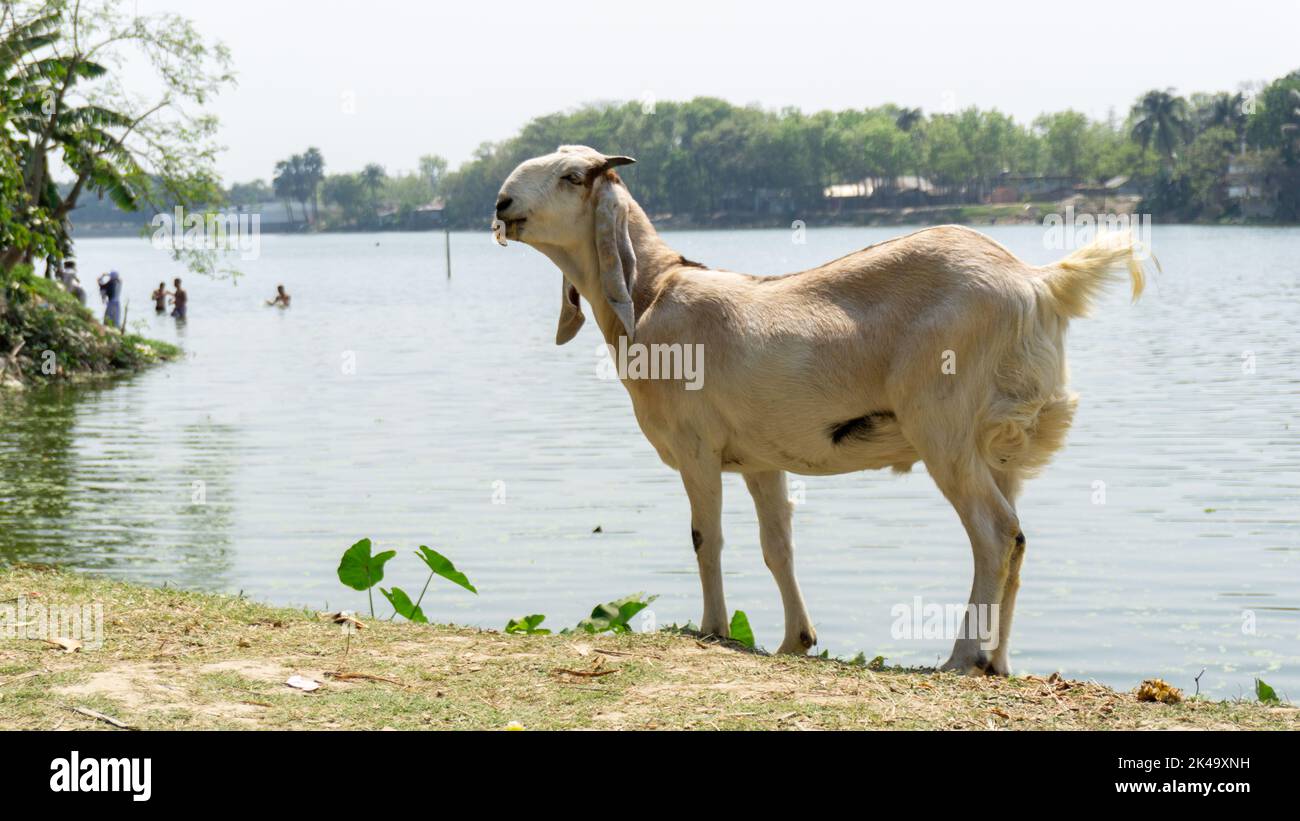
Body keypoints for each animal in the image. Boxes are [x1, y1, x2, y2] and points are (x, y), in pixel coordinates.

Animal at [493, 145, 1146, 675]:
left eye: (573, 176)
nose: (501, 204)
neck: (654, 294)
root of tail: (1039, 283)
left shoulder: (696, 447)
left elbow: (707, 538)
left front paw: (712, 630)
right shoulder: (759, 459)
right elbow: (776, 546)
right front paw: (793, 642)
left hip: (944, 430)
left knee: (994, 533)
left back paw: (962, 658)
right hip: (1002, 441)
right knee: (1018, 539)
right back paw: (998, 661)